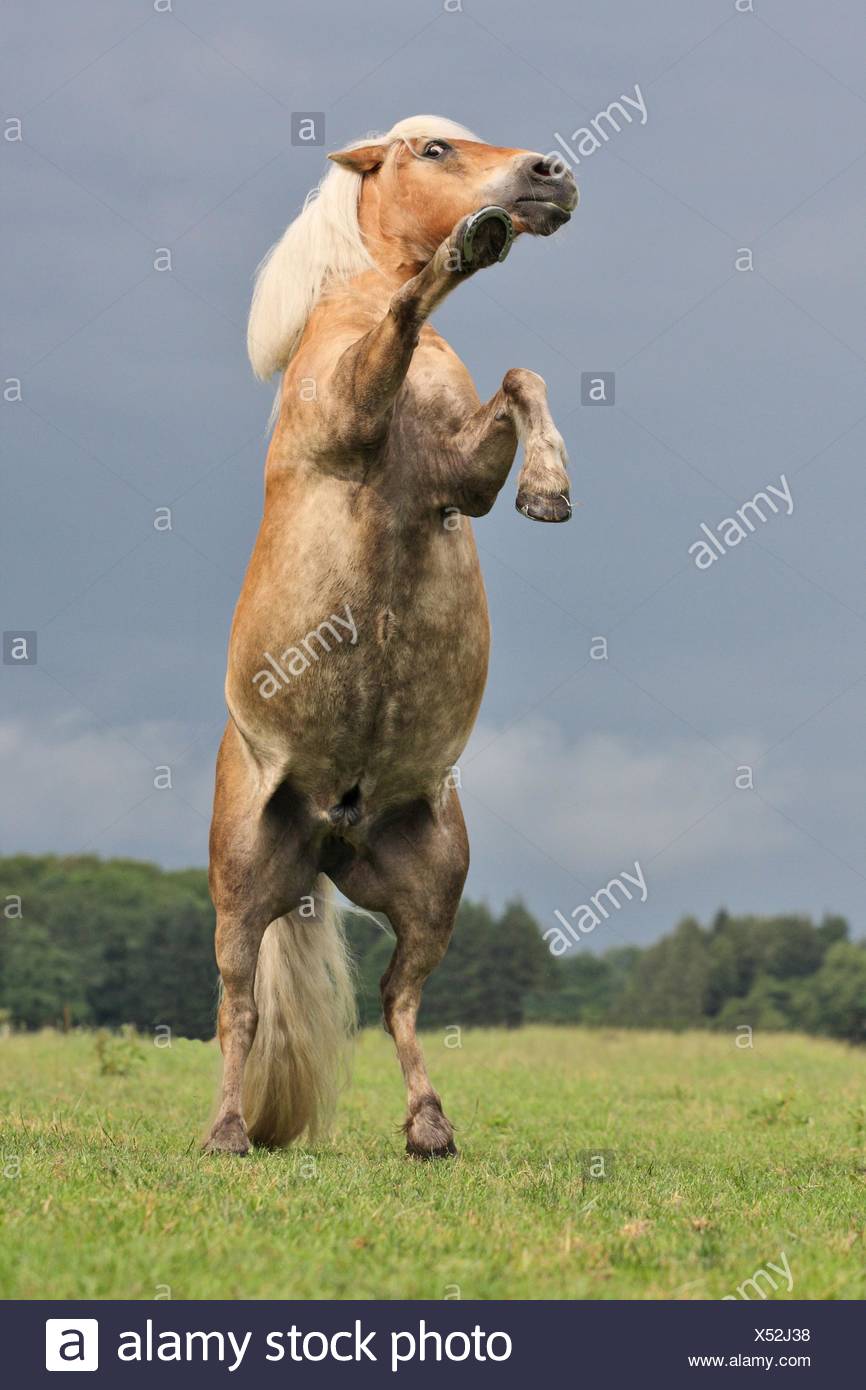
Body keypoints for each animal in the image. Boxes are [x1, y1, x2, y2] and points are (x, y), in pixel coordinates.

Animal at [204, 115, 577, 1159]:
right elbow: (410, 311)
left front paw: (550, 491)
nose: (551, 175)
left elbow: (522, 379)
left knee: (397, 999)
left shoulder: (462, 478)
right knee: (239, 1004)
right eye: (432, 150)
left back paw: (430, 1129)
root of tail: (333, 828)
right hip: (242, 878)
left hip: (431, 886)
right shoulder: (350, 418)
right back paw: (227, 1133)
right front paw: (465, 247)